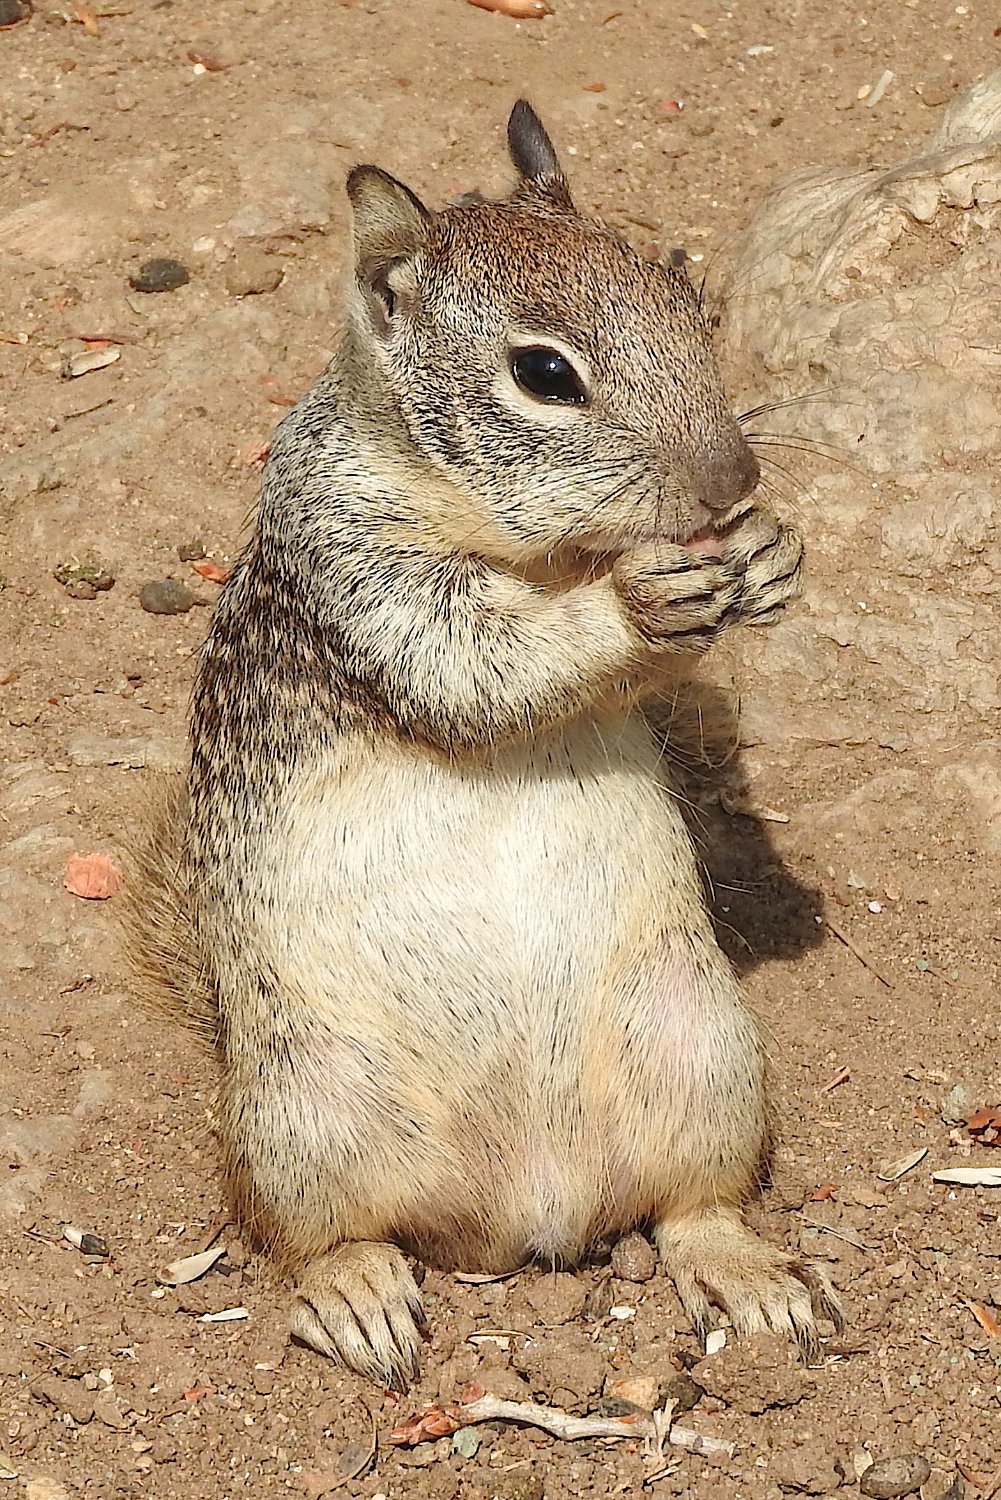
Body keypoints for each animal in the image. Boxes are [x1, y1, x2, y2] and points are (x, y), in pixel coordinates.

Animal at [123, 101, 843, 1390]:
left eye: (684, 294)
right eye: (542, 373)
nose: (734, 475)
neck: (542, 552)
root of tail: (525, 1213)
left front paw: (769, 550)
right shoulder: (356, 571)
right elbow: (475, 666)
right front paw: (634, 602)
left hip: (704, 1059)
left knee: (689, 1207)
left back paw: (745, 1274)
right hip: (303, 1116)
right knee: (312, 1236)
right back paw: (356, 1296)